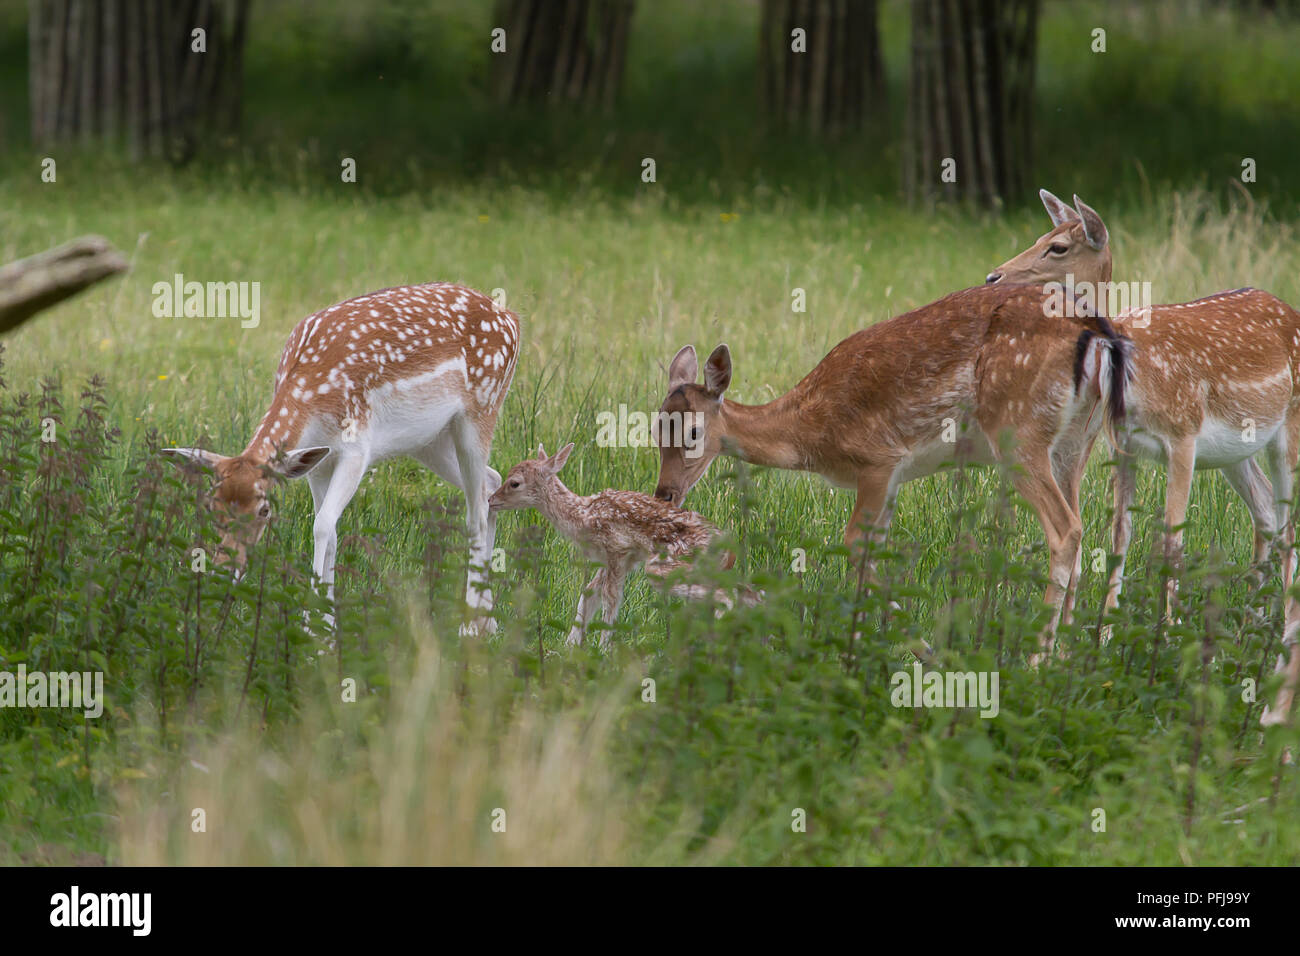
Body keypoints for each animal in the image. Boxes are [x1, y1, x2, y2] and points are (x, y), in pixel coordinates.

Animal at [163, 282, 519, 637]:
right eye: (211, 506)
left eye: (264, 510)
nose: (225, 571)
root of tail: (511, 318)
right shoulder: (317, 462)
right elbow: (331, 531)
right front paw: (328, 628)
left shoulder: (356, 447)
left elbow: (321, 526)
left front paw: (310, 629)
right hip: (429, 440)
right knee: (492, 484)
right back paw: (489, 620)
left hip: (482, 409)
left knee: (475, 513)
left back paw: (469, 625)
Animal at [488, 443, 756, 647]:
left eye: (514, 483)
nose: (490, 500)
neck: (583, 515)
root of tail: (730, 550)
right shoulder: (613, 559)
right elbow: (588, 595)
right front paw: (570, 645)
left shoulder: (616, 548)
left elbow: (611, 600)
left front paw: (603, 649)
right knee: (747, 592)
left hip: (668, 565)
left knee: (728, 595)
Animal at [652, 282, 1133, 665]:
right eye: (655, 427)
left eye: (693, 432)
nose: (664, 494)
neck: (810, 434)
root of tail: (1095, 333)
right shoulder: (894, 481)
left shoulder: (878, 460)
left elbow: (856, 545)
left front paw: (912, 650)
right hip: (1075, 442)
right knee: (1083, 526)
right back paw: (1066, 654)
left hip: (1018, 429)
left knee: (1066, 528)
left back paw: (1037, 659)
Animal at [987, 189, 1300, 723]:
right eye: (1041, 234)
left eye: (1058, 247)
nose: (993, 277)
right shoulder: (1125, 445)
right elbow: (1119, 536)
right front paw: (1106, 640)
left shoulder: (1183, 435)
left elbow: (1171, 541)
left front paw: (1169, 647)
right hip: (1237, 450)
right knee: (1265, 513)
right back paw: (1248, 631)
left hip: (1288, 428)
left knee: (1289, 529)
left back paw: (1275, 644)